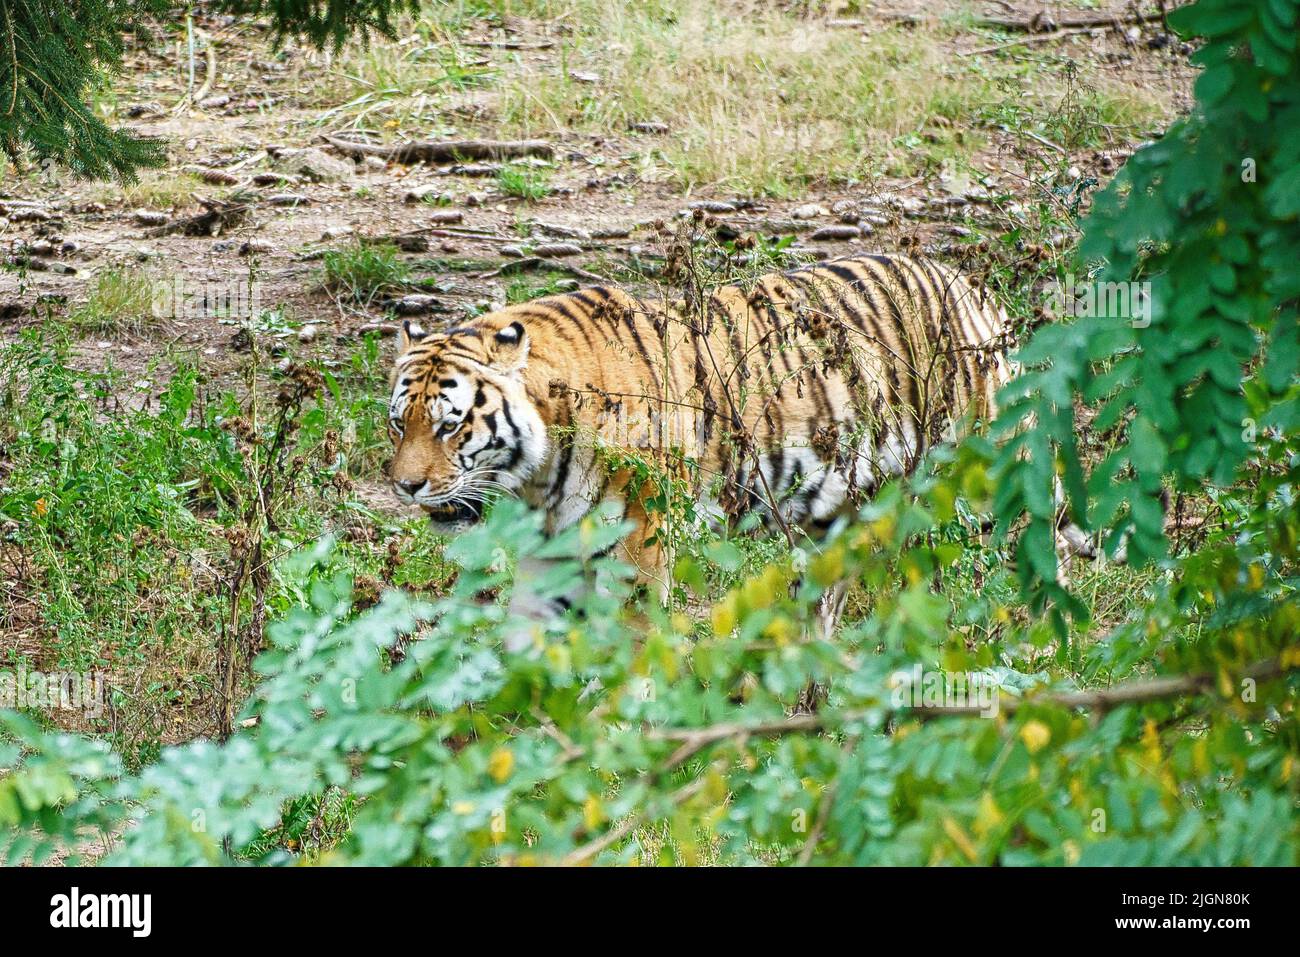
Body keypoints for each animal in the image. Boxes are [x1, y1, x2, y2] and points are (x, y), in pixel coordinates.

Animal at [386, 251, 1013, 632]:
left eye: (450, 425)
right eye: (400, 424)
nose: (406, 487)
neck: (535, 479)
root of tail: (973, 287)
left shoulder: (637, 541)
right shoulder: (552, 551)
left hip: (982, 489)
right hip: (838, 518)